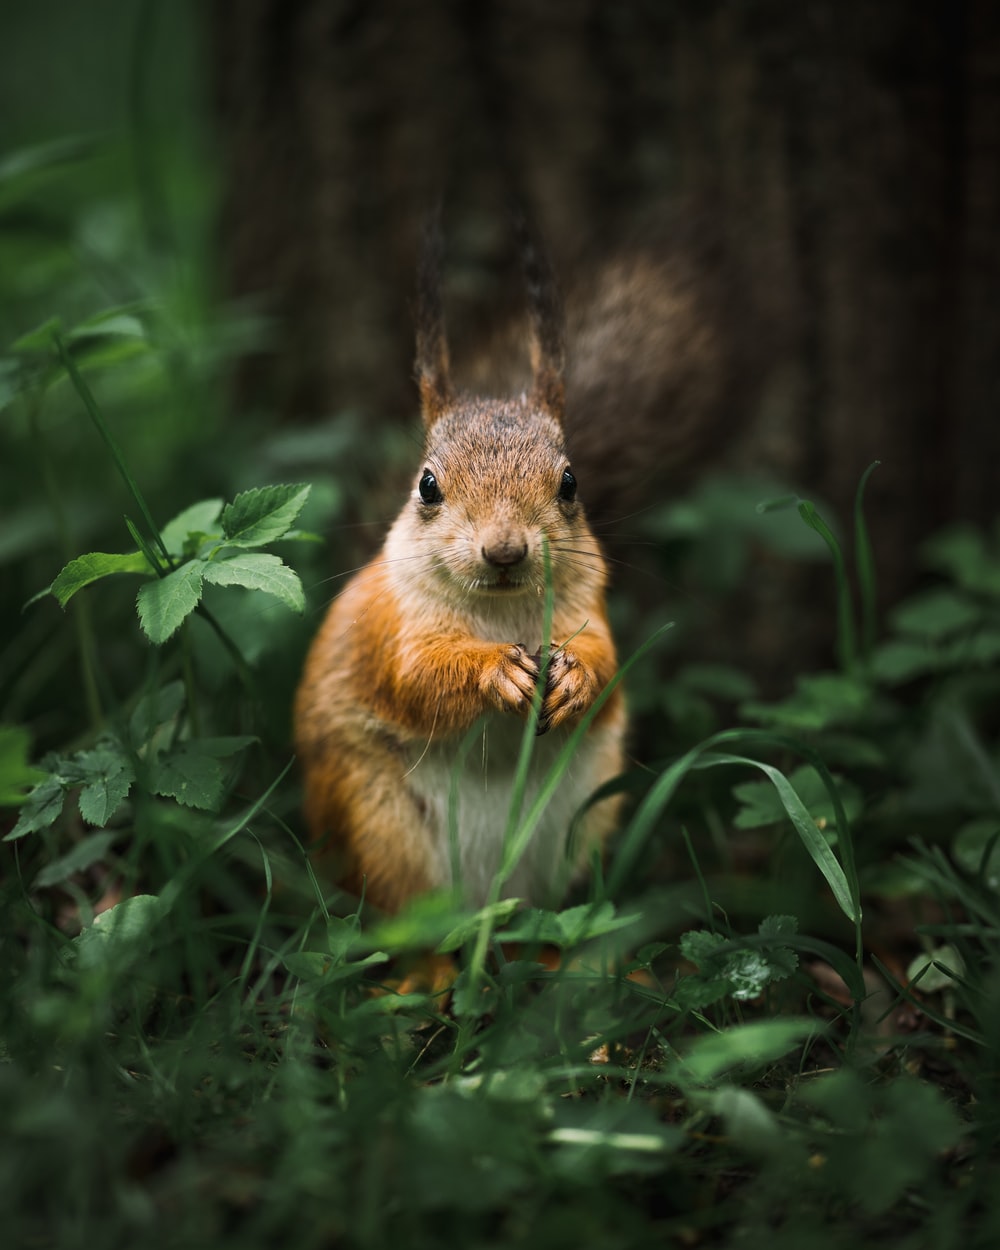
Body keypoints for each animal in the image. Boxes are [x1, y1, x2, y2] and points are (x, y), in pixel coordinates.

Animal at [293, 220, 626, 914]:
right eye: (427, 485)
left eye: (570, 483)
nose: (504, 551)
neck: (500, 612)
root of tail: (488, 897)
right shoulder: (391, 628)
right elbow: (416, 678)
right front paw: (493, 671)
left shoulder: (589, 605)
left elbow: (607, 658)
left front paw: (576, 677)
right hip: (375, 819)